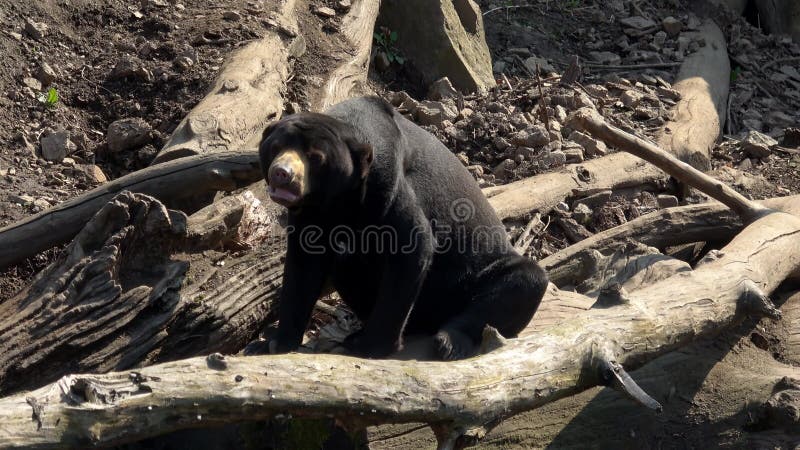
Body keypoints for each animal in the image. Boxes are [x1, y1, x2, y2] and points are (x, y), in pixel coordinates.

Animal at [252, 96, 547, 360]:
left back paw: (448, 341)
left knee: (523, 281)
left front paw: (370, 347)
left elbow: (412, 244)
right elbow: (304, 265)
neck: (338, 198)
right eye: (275, 147)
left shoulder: (386, 182)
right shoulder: (309, 212)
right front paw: (272, 344)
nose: (282, 174)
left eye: (315, 157)